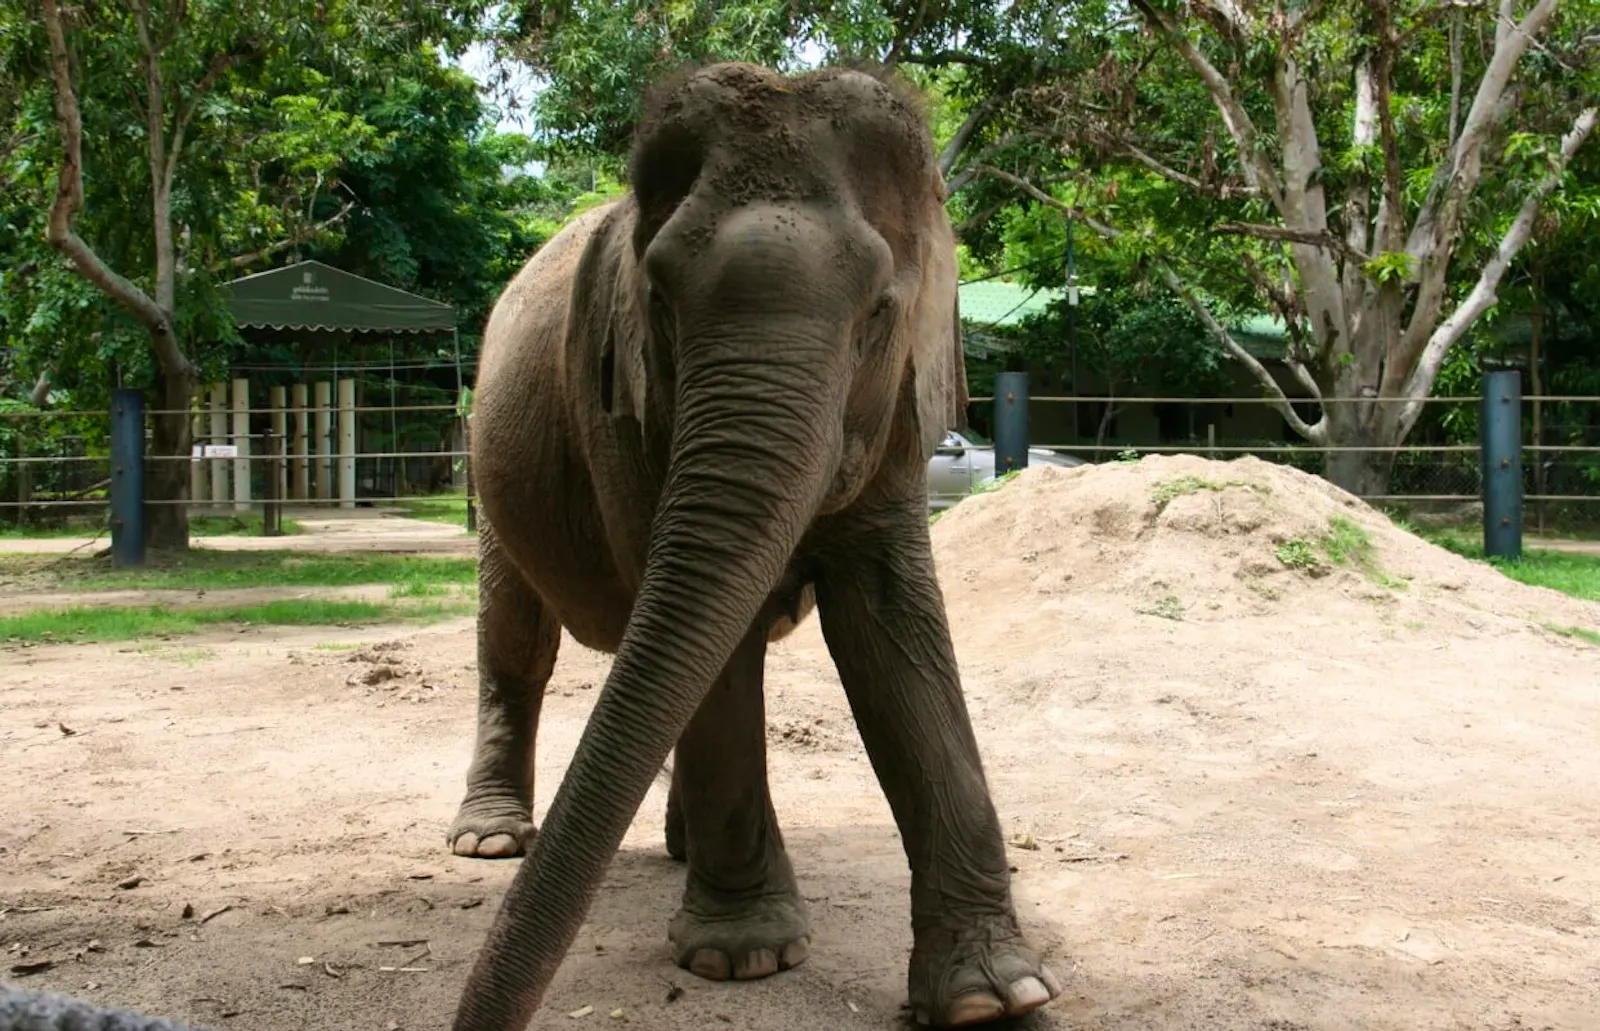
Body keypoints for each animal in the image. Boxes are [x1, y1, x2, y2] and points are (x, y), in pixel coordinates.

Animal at [446, 62, 1063, 1030]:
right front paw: (743, 957)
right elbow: (716, 645)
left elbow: (891, 625)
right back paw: (488, 840)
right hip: (490, 465)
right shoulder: (618, 407)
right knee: (519, 642)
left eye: (879, 311)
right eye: (659, 302)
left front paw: (994, 996)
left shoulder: (897, 419)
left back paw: (674, 847)